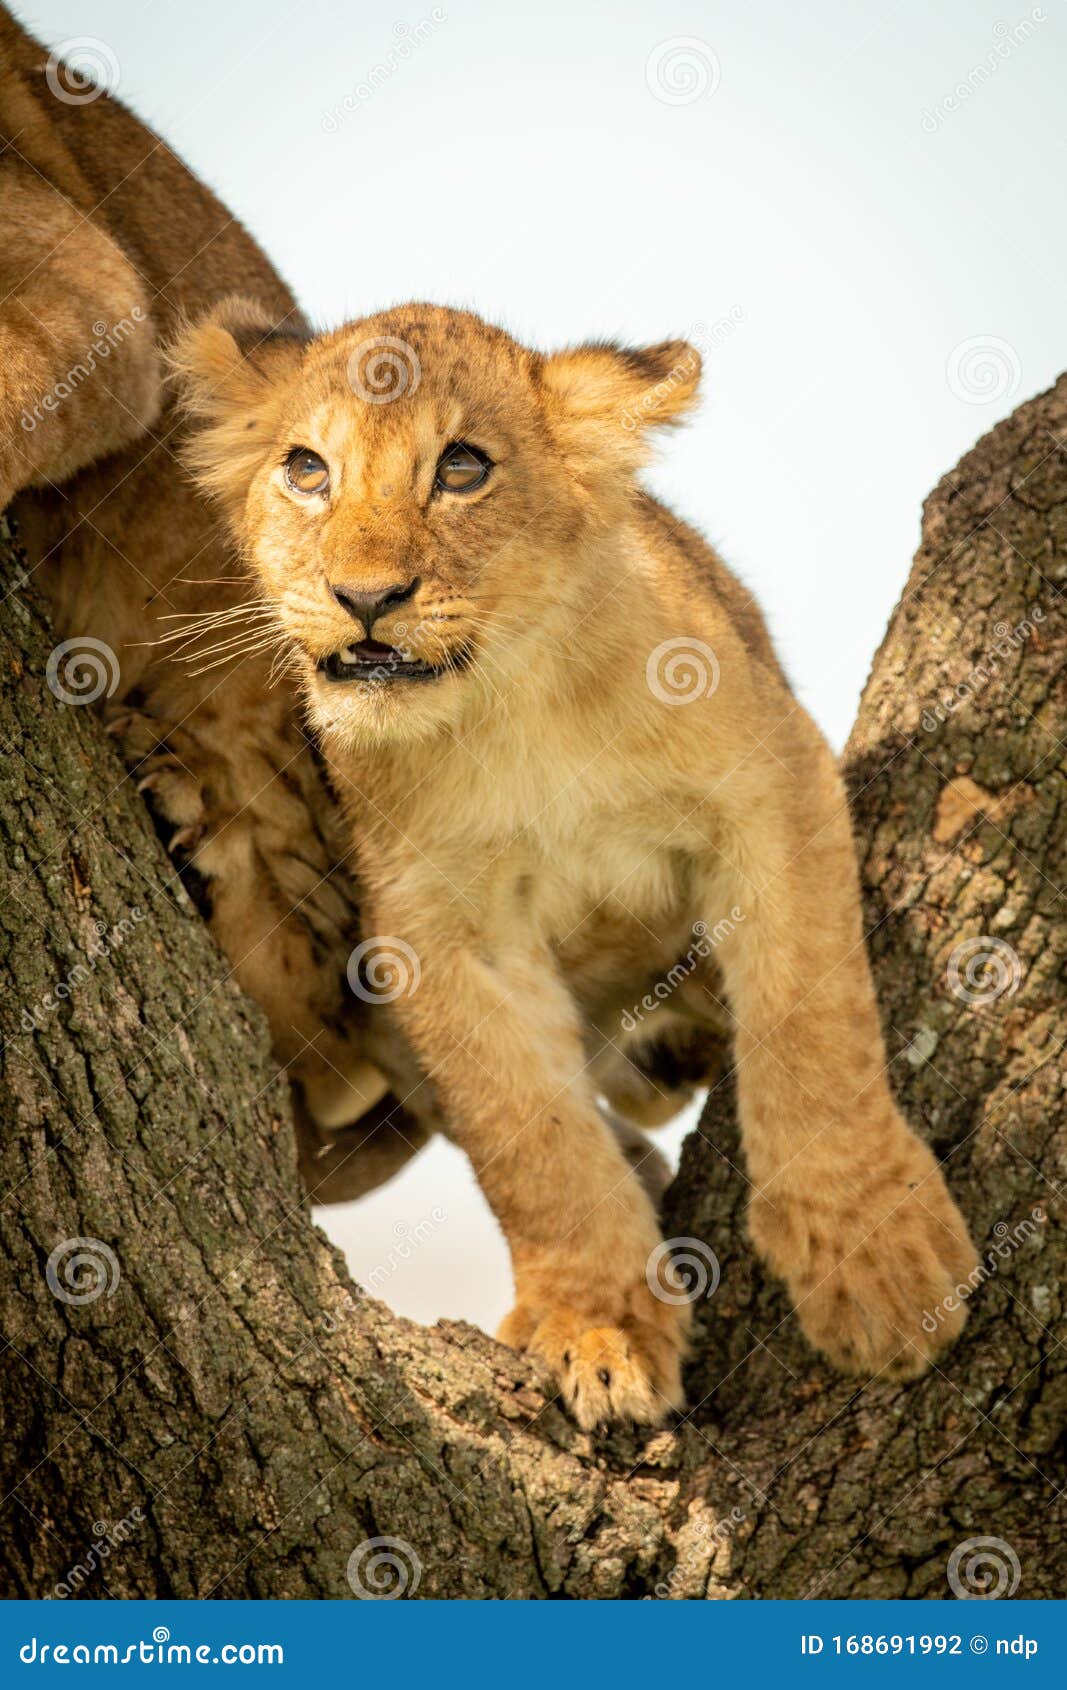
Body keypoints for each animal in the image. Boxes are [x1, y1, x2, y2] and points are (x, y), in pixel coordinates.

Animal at [167, 296, 980, 1427]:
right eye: (307, 469)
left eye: (462, 468)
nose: (363, 596)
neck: (509, 703)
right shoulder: (435, 931)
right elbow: (532, 1137)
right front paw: (599, 1327)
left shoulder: (772, 782)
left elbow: (809, 1026)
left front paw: (877, 1261)